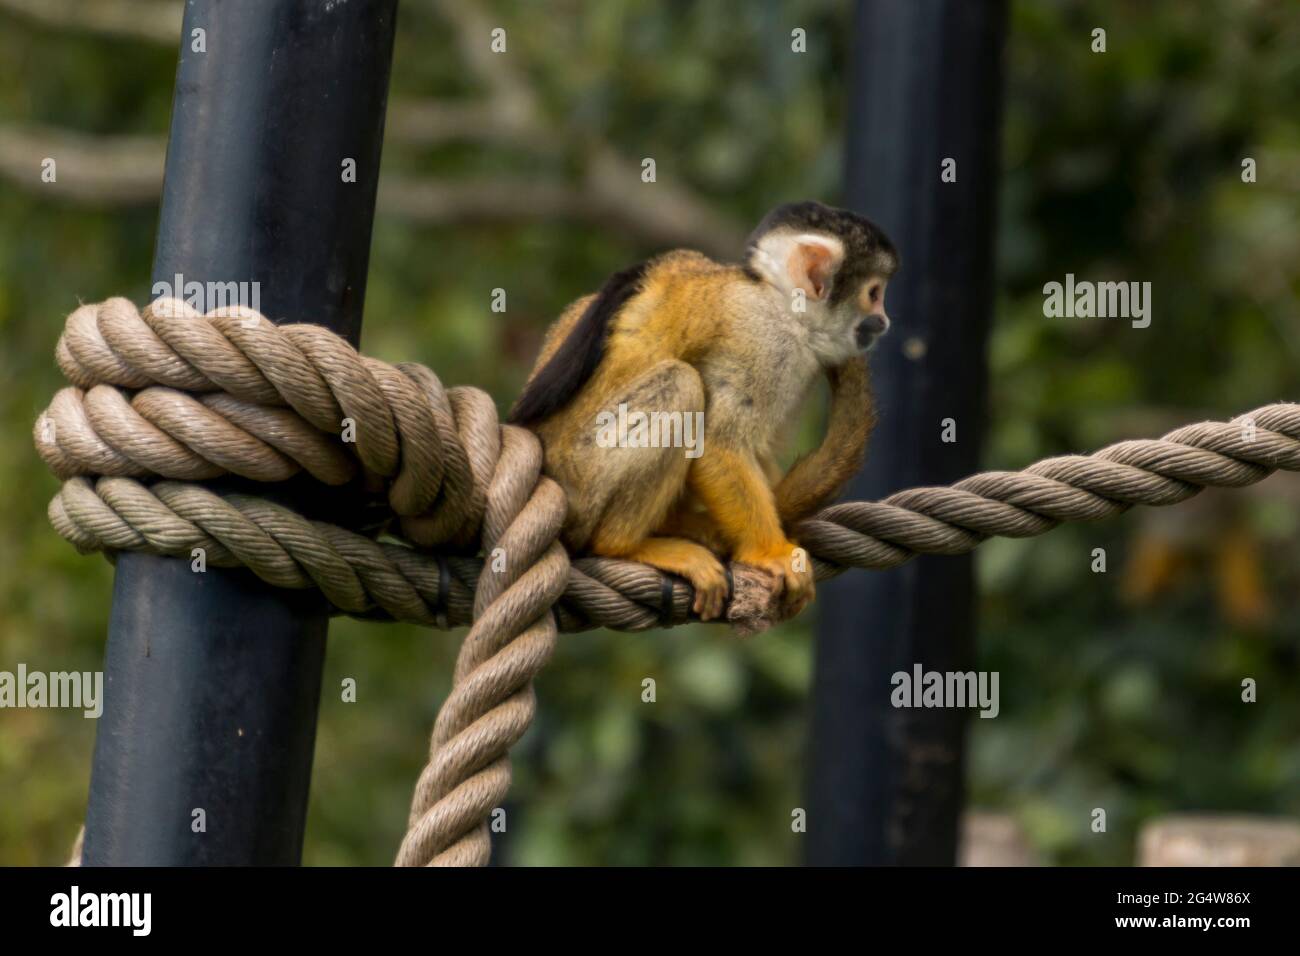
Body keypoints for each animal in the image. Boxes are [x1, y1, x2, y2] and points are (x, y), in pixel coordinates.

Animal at [510, 200, 897, 621]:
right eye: (874, 293)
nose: (884, 321)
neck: (778, 303)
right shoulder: (764, 344)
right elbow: (717, 443)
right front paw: (772, 553)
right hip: (581, 482)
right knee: (681, 384)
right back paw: (623, 545)